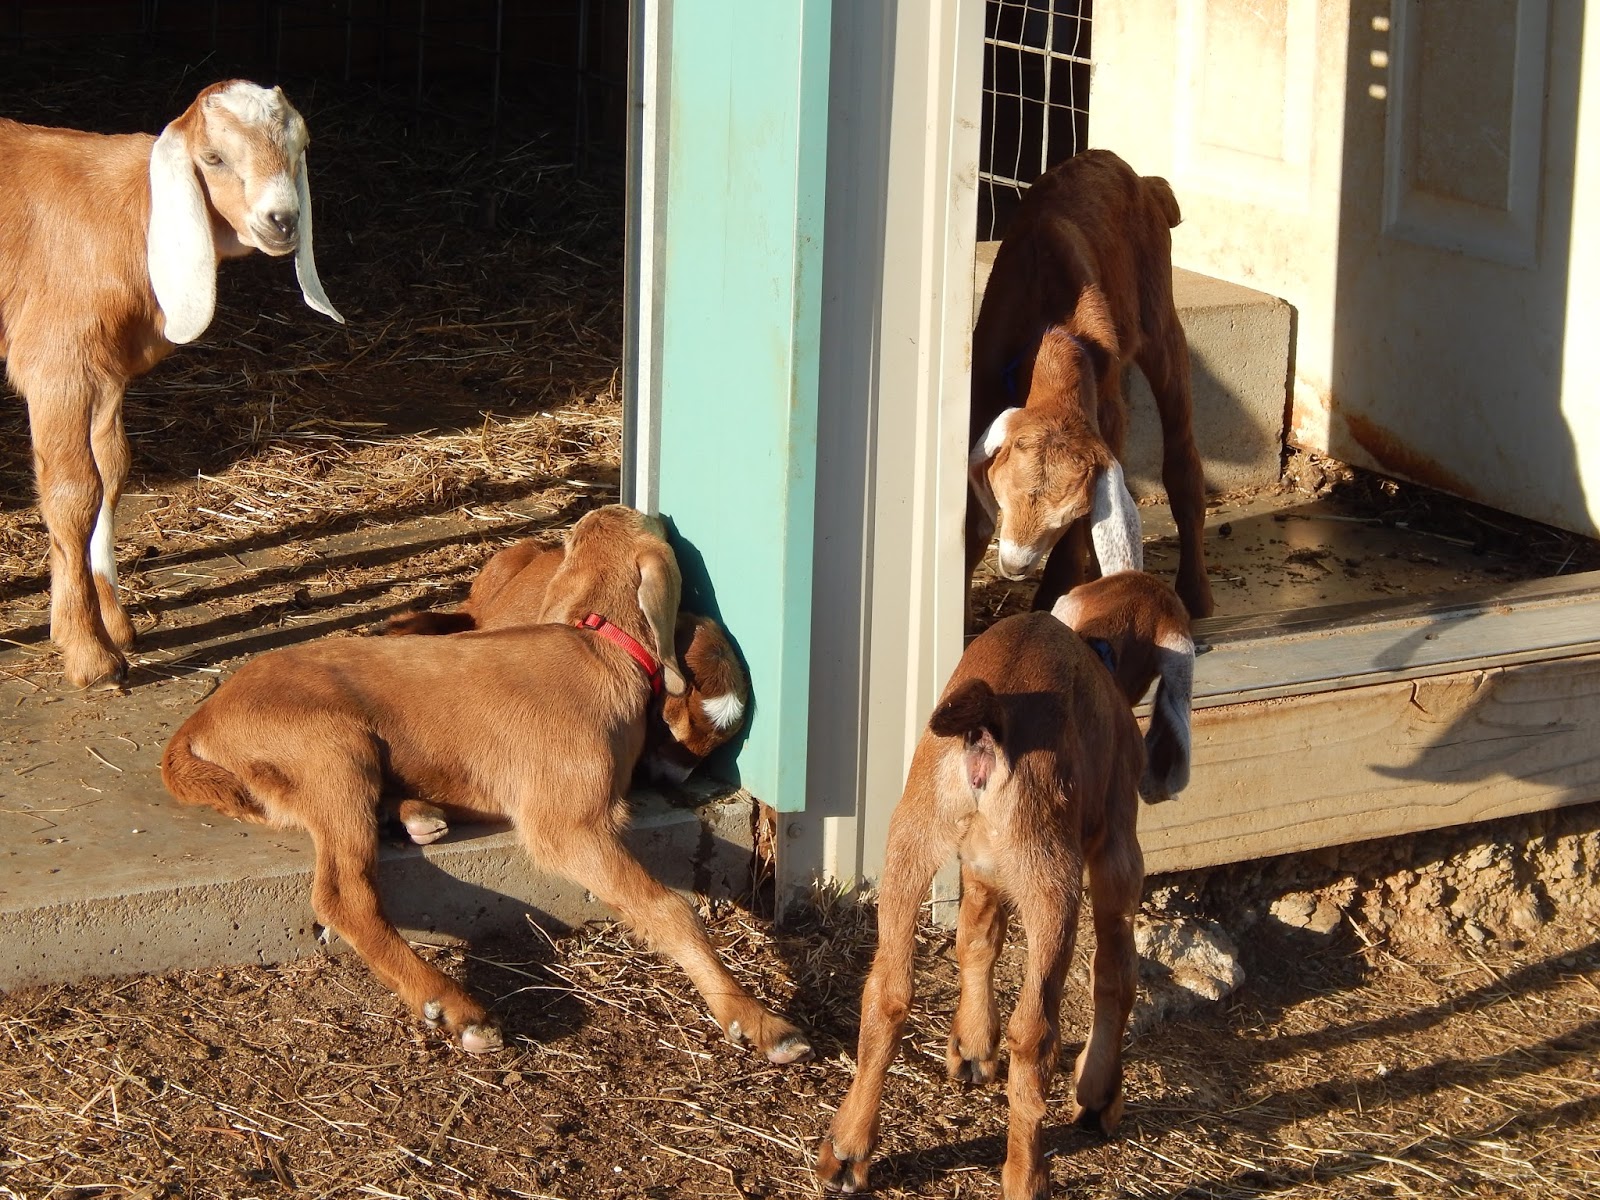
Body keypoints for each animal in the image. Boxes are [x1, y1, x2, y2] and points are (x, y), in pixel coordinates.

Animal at [0, 80, 343, 688]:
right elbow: (73, 494)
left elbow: (112, 472)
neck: (138, 212)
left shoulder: (106, 373)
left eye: (301, 145)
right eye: (213, 158)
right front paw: (88, 653)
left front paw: (113, 623)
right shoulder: (56, 366)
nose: (283, 221)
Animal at [817, 572, 1194, 1200]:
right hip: (1052, 886)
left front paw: (971, 1046)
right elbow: (1116, 975)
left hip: (908, 843)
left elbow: (978, 936)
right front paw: (1098, 1095)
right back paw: (1026, 1174)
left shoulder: (981, 867)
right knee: (1035, 1033)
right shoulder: (1118, 852)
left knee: (887, 992)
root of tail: (990, 724)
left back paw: (848, 1149)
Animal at [968, 148, 1213, 620]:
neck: (1050, 329)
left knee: (1182, 455)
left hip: (1161, 317)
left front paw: (1053, 595)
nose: (1014, 566)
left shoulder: (1106, 407)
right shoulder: (982, 382)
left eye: (1064, 517)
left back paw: (1196, 595)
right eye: (1004, 495)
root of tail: (1143, 180)